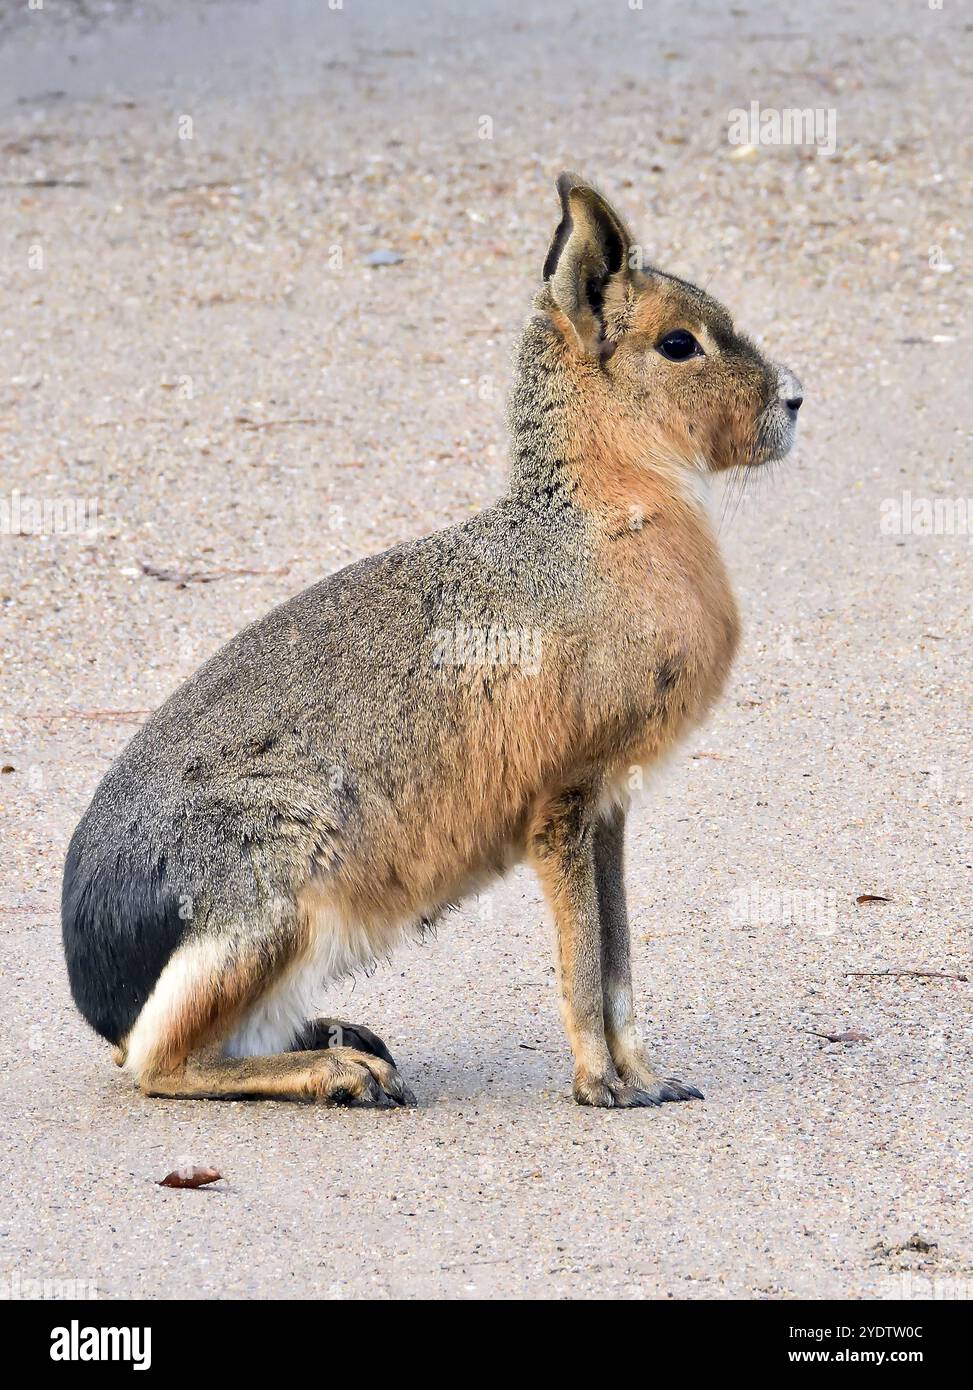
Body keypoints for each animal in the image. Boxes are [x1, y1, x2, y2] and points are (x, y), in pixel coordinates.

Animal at [62, 172, 803, 1109]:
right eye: (680, 343)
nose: (793, 400)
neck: (596, 534)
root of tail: (97, 982)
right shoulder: (560, 800)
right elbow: (583, 957)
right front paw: (600, 1086)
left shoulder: (609, 803)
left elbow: (620, 958)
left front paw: (645, 1077)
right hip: (282, 879)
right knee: (157, 1065)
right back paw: (340, 1071)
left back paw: (343, 1040)